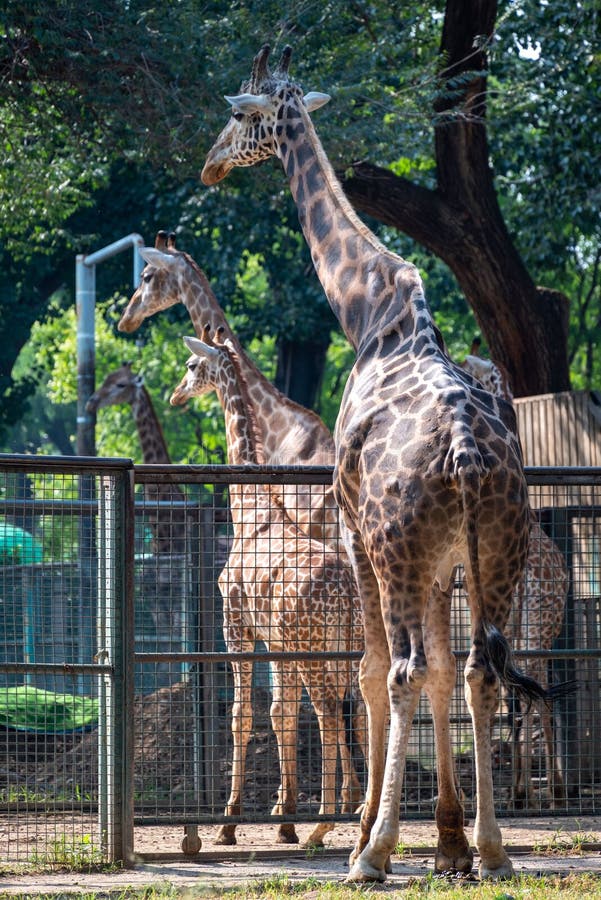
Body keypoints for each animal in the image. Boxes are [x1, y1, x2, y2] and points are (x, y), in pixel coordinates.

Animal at [170, 324, 361, 846]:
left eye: (192, 365)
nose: (176, 394)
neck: (250, 509)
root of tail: (345, 592)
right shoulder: (277, 641)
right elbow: (280, 714)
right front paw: (285, 817)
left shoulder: (237, 627)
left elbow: (242, 717)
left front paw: (230, 822)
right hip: (347, 644)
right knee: (358, 706)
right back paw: (356, 814)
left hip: (315, 646)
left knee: (330, 711)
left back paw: (326, 824)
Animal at [200, 45, 557, 882]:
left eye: (237, 116)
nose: (209, 165)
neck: (367, 312)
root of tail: (464, 452)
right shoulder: (443, 559)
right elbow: (445, 673)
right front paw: (451, 844)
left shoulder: (358, 533)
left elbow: (371, 672)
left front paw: (369, 833)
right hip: (497, 551)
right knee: (479, 672)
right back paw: (493, 852)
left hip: (397, 548)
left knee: (397, 672)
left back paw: (373, 853)